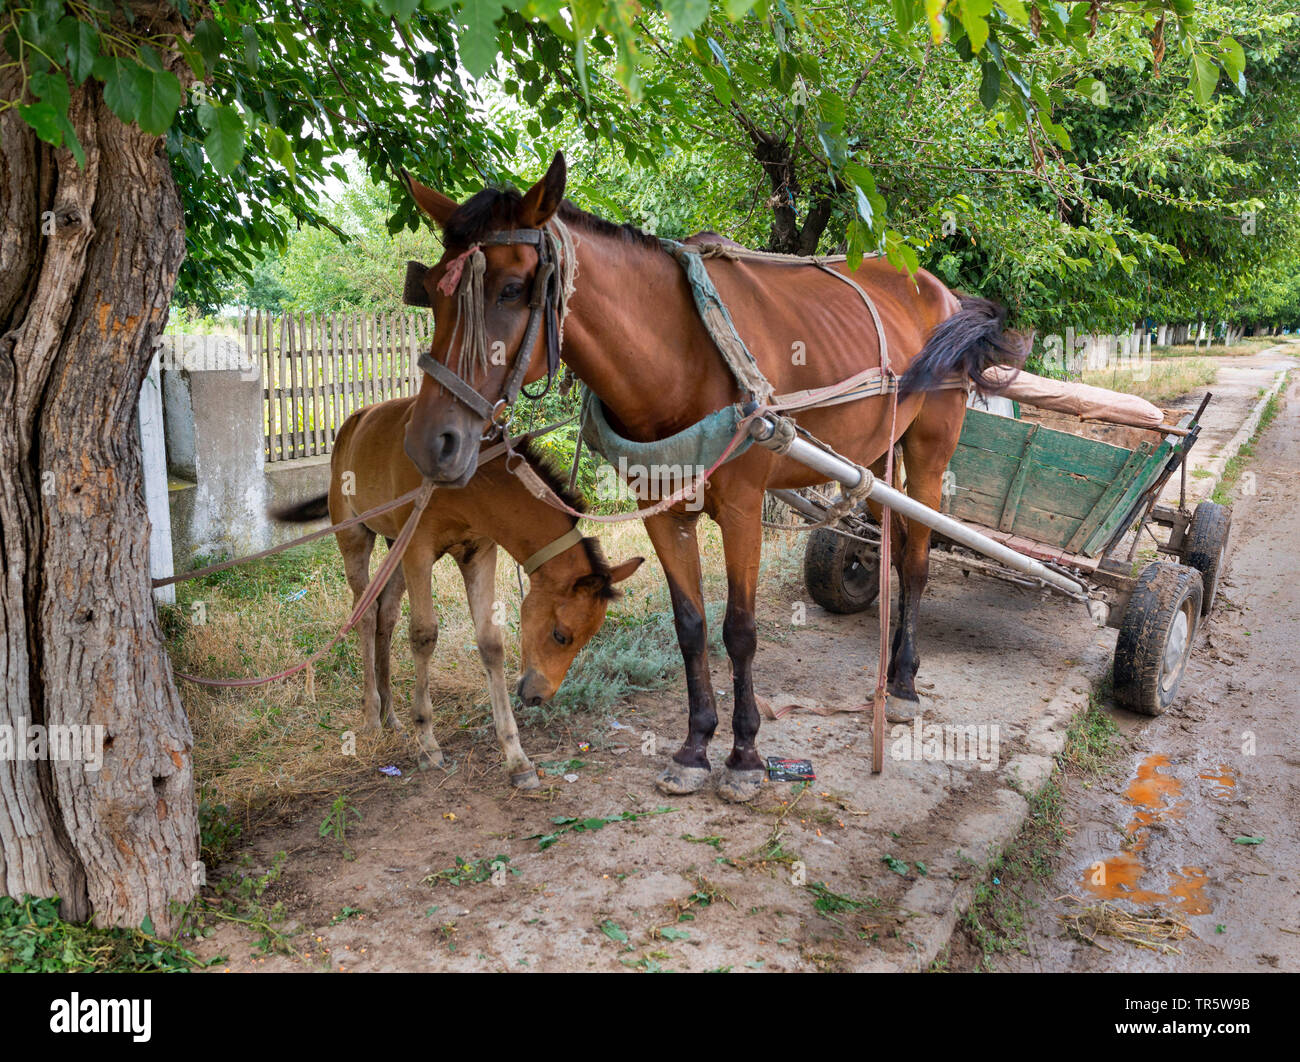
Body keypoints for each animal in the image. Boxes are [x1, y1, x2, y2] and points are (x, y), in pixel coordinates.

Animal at [275, 394, 643, 788]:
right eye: (561, 635)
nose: (537, 697)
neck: (473, 484)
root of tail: (353, 423)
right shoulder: (419, 549)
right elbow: (424, 634)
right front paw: (427, 742)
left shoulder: (478, 551)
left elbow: (490, 643)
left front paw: (516, 757)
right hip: (355, 536)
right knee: (366, 613)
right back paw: (373, 716)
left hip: (395, 548)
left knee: (386, 613)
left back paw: (391, 716)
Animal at [397, 153, 1023, 802]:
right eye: (433, 295)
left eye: (512, 290)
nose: (428, 443)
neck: (684, 353)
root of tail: (942, 292)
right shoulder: (663, 508)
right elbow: (691, 626)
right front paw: (696, 746)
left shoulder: (744, 507)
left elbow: (740, 630)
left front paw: (745, 757)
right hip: (876, 458)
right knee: (894, 547)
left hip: (929, 450)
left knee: (919, 562)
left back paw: (901, 684)